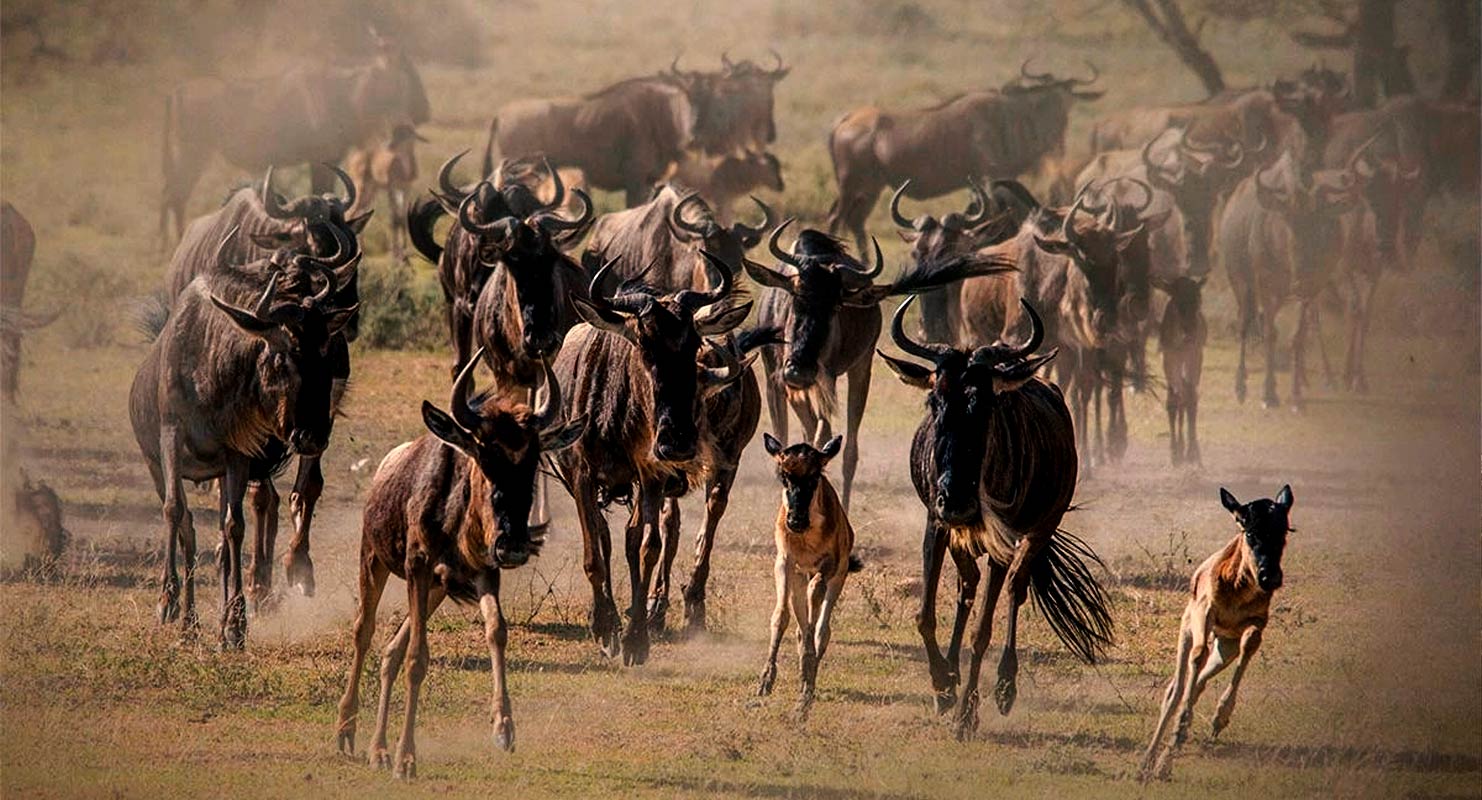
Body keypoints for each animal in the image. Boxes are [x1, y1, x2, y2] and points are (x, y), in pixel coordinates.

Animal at [1141, 485, 1295, 781]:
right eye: (1248, 531)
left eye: (1283, 531)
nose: (1269, 577)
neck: (1238, 586)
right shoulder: (1205, 613)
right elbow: (1198, 656)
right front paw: (1171, 744)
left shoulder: (1257, 622)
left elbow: (1250, 645)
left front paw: (1218, 719)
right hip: (1188, 631)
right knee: (1176, 689)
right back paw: (1148, 760)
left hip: (1225, 646)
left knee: (1199, 681)